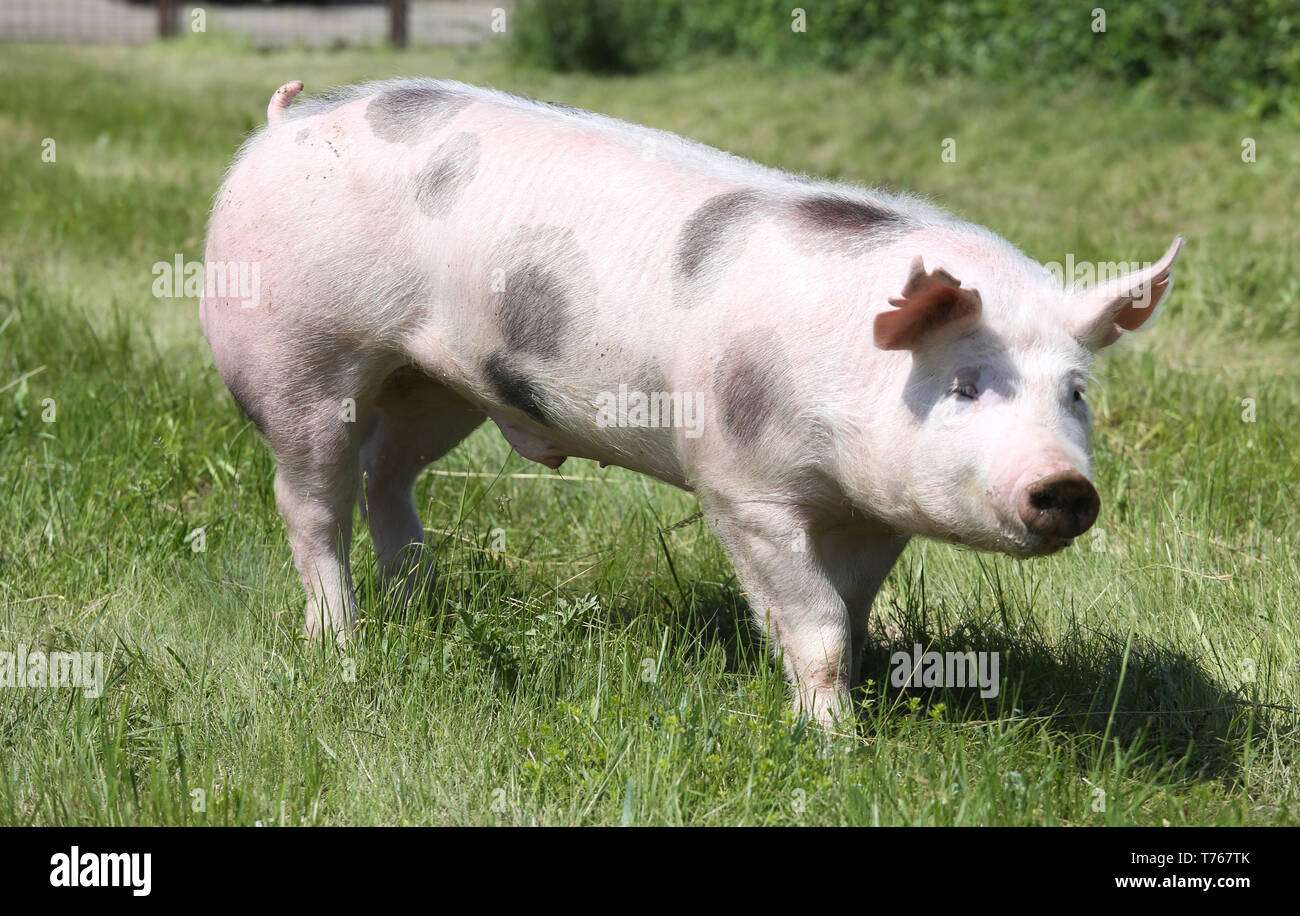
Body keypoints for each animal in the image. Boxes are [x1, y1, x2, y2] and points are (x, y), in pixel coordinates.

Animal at [200, 78, 1184, 728]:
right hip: (294, 354)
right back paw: (341, 642)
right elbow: (815, 624)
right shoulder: (743, 486)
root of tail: (287, 123)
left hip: (437, 383)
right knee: (309, 498)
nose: (1065, 485)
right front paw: (839, 749)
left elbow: (851, 618)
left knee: (386, 476)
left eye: (1076, 392)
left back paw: (422, 598)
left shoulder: (873, 513)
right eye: (966, 385)